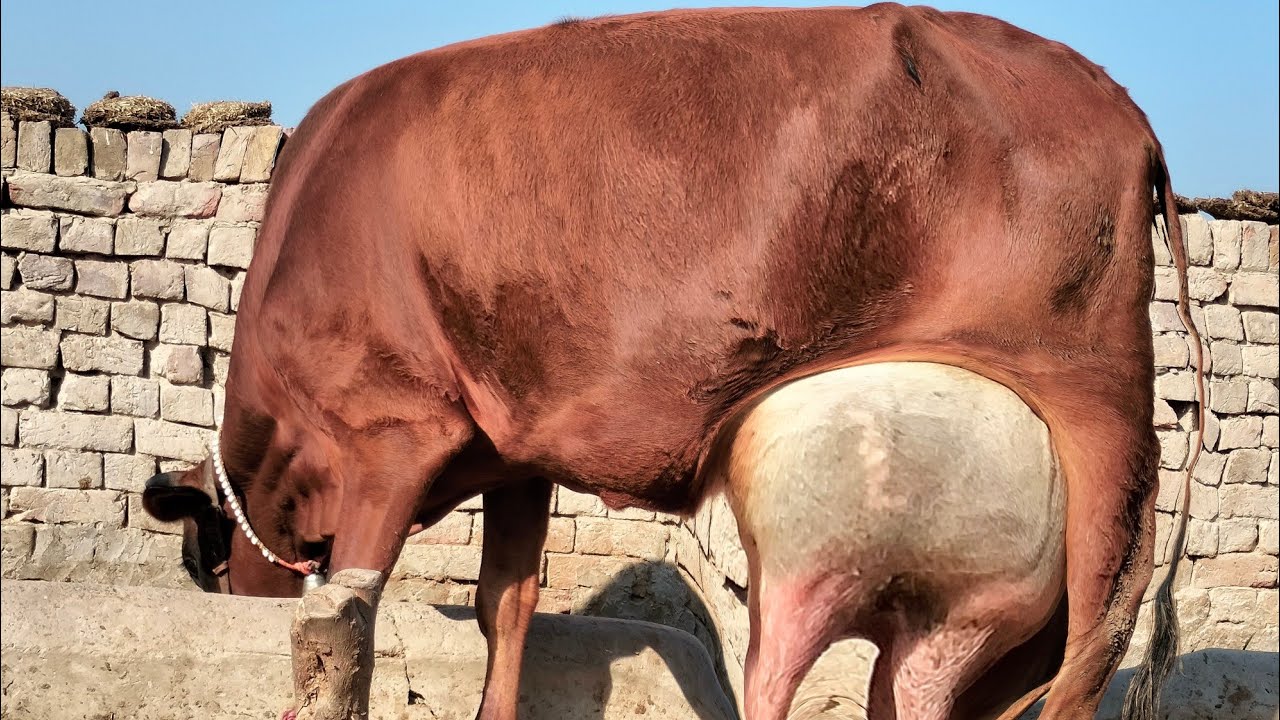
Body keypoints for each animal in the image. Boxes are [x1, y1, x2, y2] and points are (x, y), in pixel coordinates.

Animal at [141, 5, 1205, 720]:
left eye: (203, 558)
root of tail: (1113, 98)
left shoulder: (386, 432)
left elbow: (350, 621)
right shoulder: (514, 446)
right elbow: (505, 607)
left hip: (1105, 445)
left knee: (1081, 662)